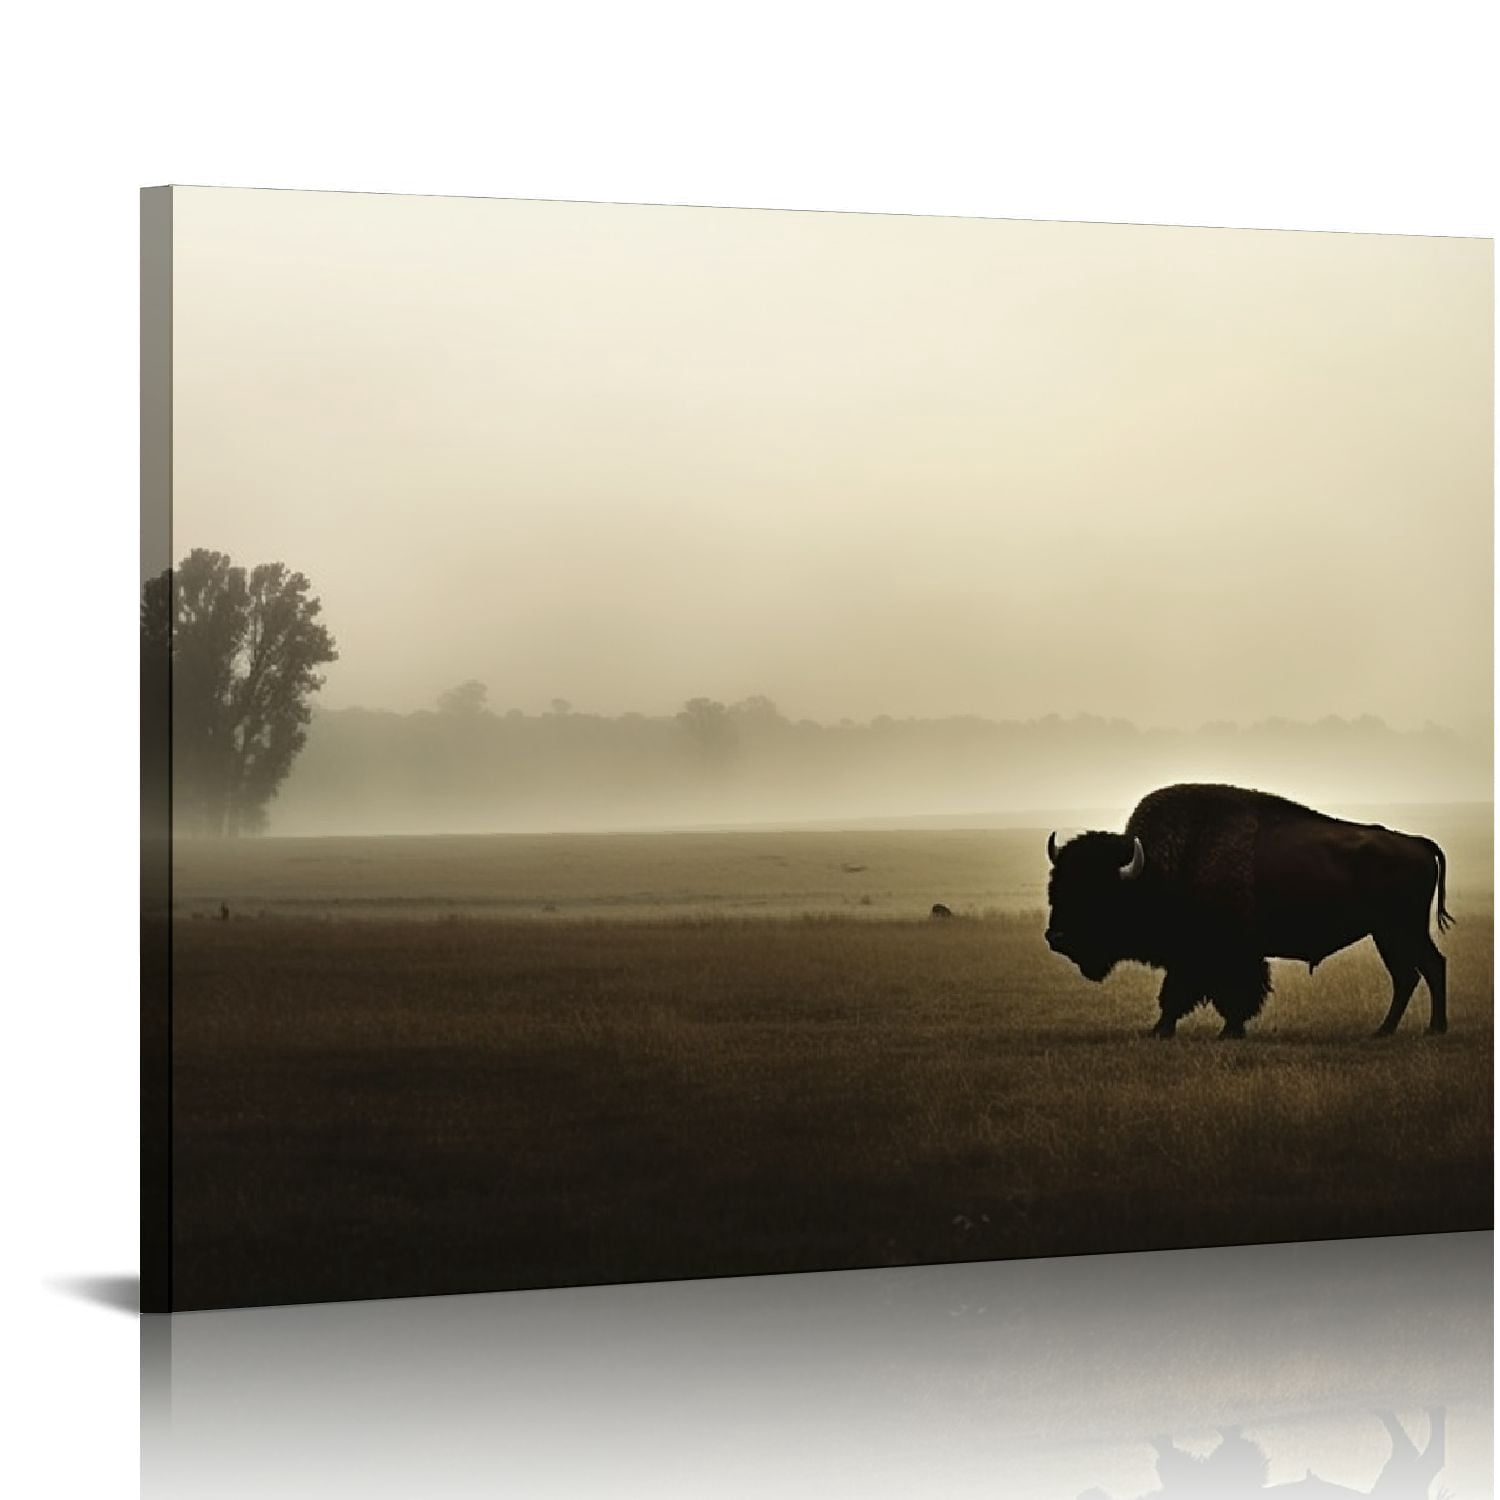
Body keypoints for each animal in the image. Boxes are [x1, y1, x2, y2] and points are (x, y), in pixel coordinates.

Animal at [1045, 783, 1452, 1039]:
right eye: (1055, 887)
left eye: (1098, 895)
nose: (1056, 936)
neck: (1163, 866)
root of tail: (1418, 843)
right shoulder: (1195, 955)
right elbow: (1182, 993)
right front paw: (1165, 1029)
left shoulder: (1222, 955)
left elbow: (1217, 993)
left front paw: (1218, 1031)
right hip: (1388, 933)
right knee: (1409, 975)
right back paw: (1385, 1030)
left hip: (1402, 929)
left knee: (1428, 968)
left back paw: (1432, 1028)